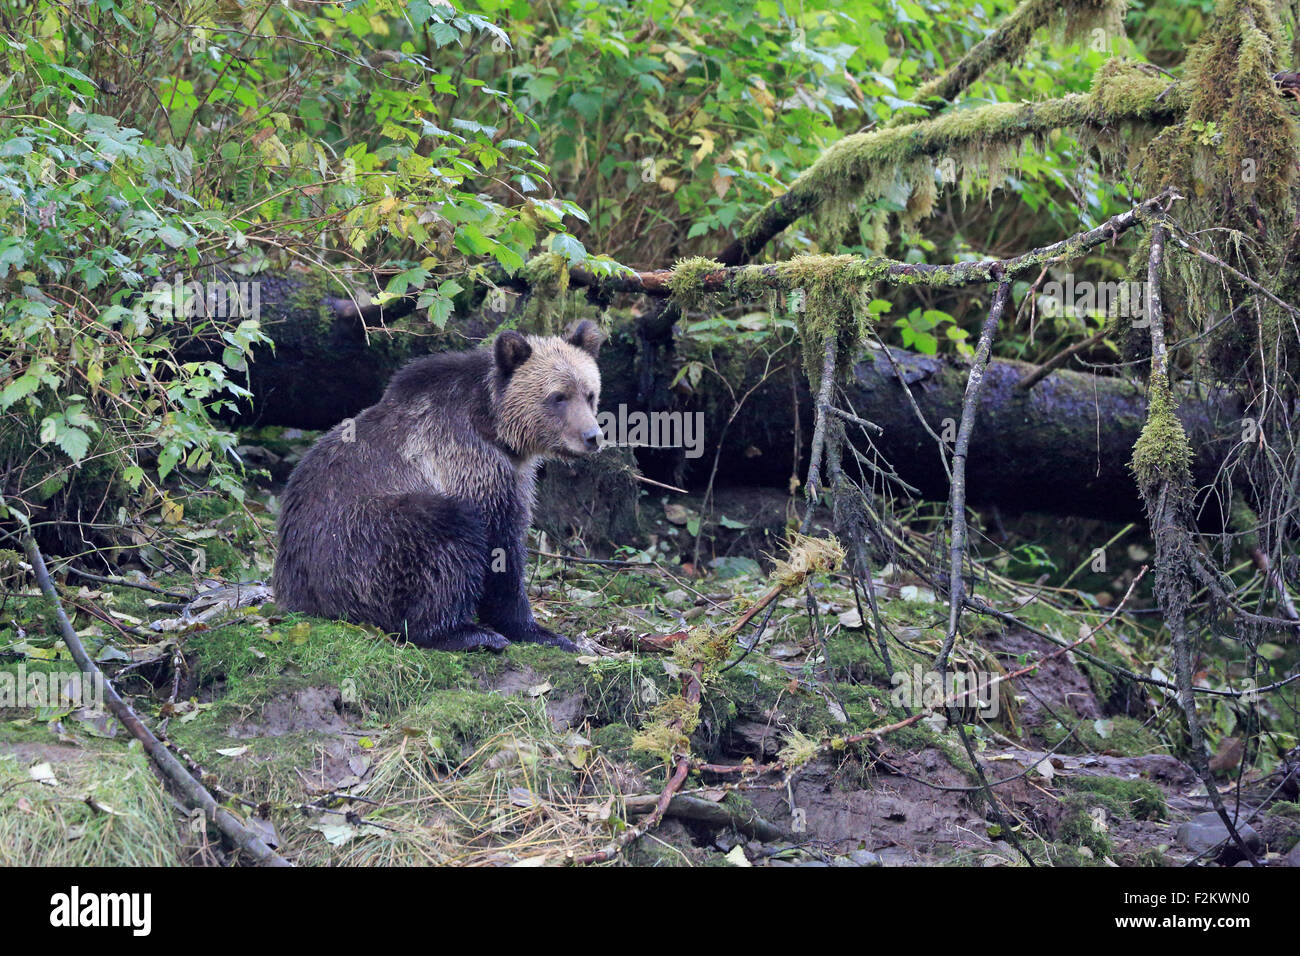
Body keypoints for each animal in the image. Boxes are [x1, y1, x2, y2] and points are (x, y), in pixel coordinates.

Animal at [271, 320, 604, 652]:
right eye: (558, 397)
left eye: (589, 394)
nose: (592, 436)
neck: (496, 428)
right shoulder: (471, 465)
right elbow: (500, 547)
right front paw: (536, 630)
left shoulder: (514, 475)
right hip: (362, 540)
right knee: (444, 534)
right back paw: (465, 633)